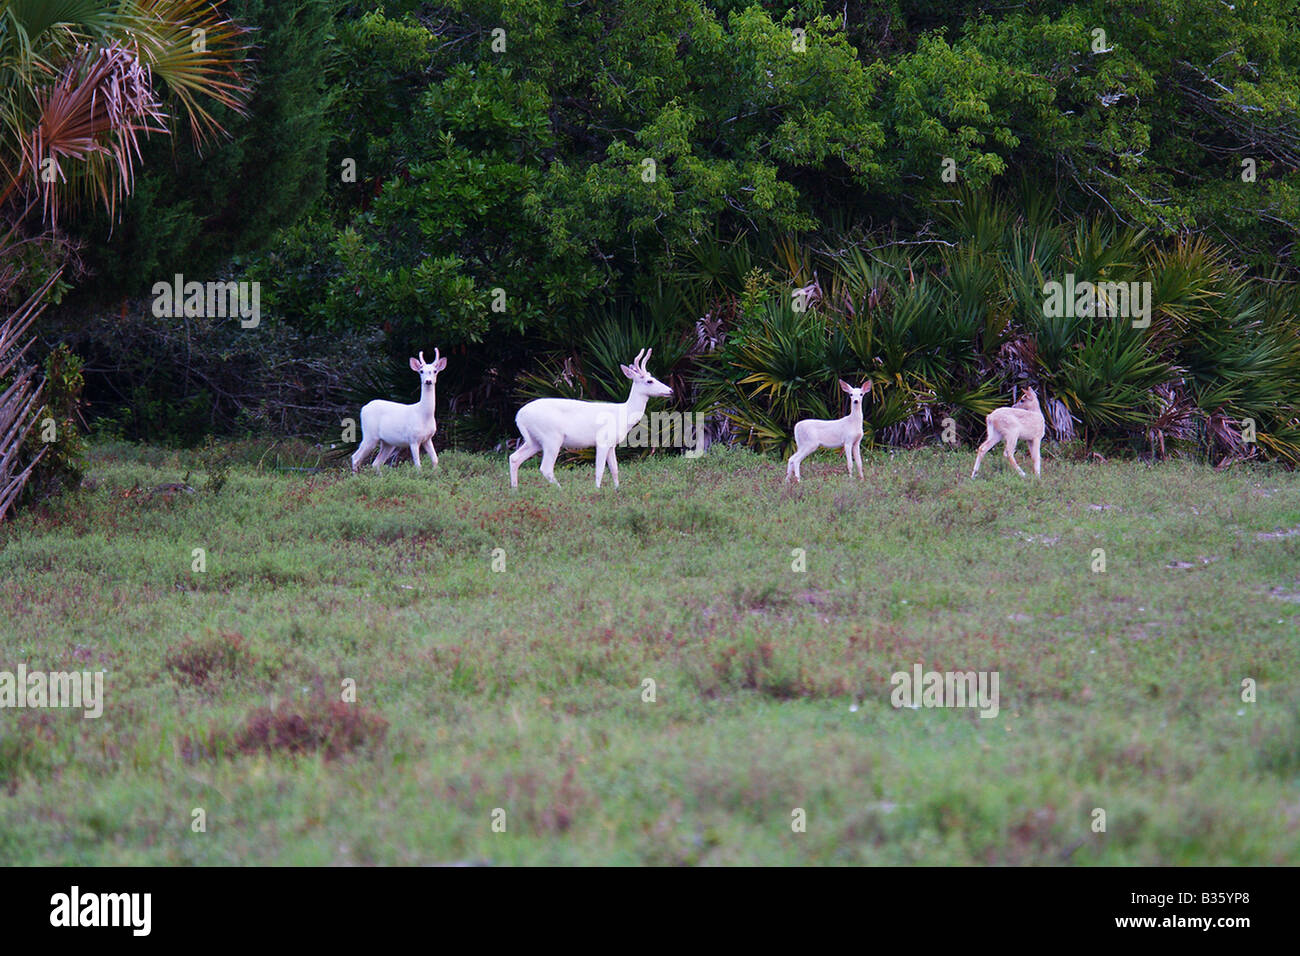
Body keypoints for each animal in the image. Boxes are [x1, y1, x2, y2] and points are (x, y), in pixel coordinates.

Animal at [509, 348, 672, 488]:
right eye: (649, 381)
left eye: (653, 377)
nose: (670, 390)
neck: (623, 413)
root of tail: (519, 416)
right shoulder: (602, 441)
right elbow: (600, 470)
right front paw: (597, 490)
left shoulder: (611, 445)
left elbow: (615, 469)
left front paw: (617, 490)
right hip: (551, 438)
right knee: (546, 468)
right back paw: (561, 490)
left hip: (535, 441)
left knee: (514, 458)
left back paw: (515, 490)